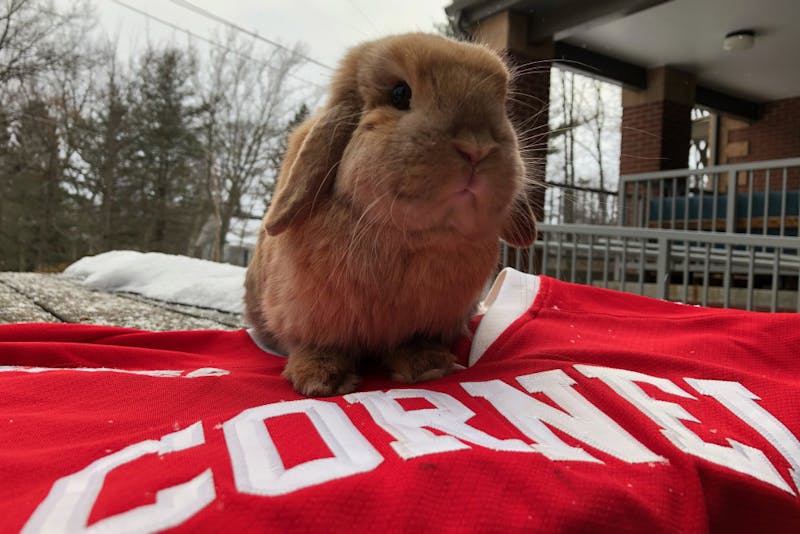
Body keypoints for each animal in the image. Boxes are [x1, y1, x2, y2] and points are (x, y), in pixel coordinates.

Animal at [244, 33, 537, 397]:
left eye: (502, 105)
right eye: (400, 94)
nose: (477, 148)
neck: (407, 239)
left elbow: (414, 342)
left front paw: (428, 367)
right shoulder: (307, 315)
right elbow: (319, 345)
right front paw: (319, 380)